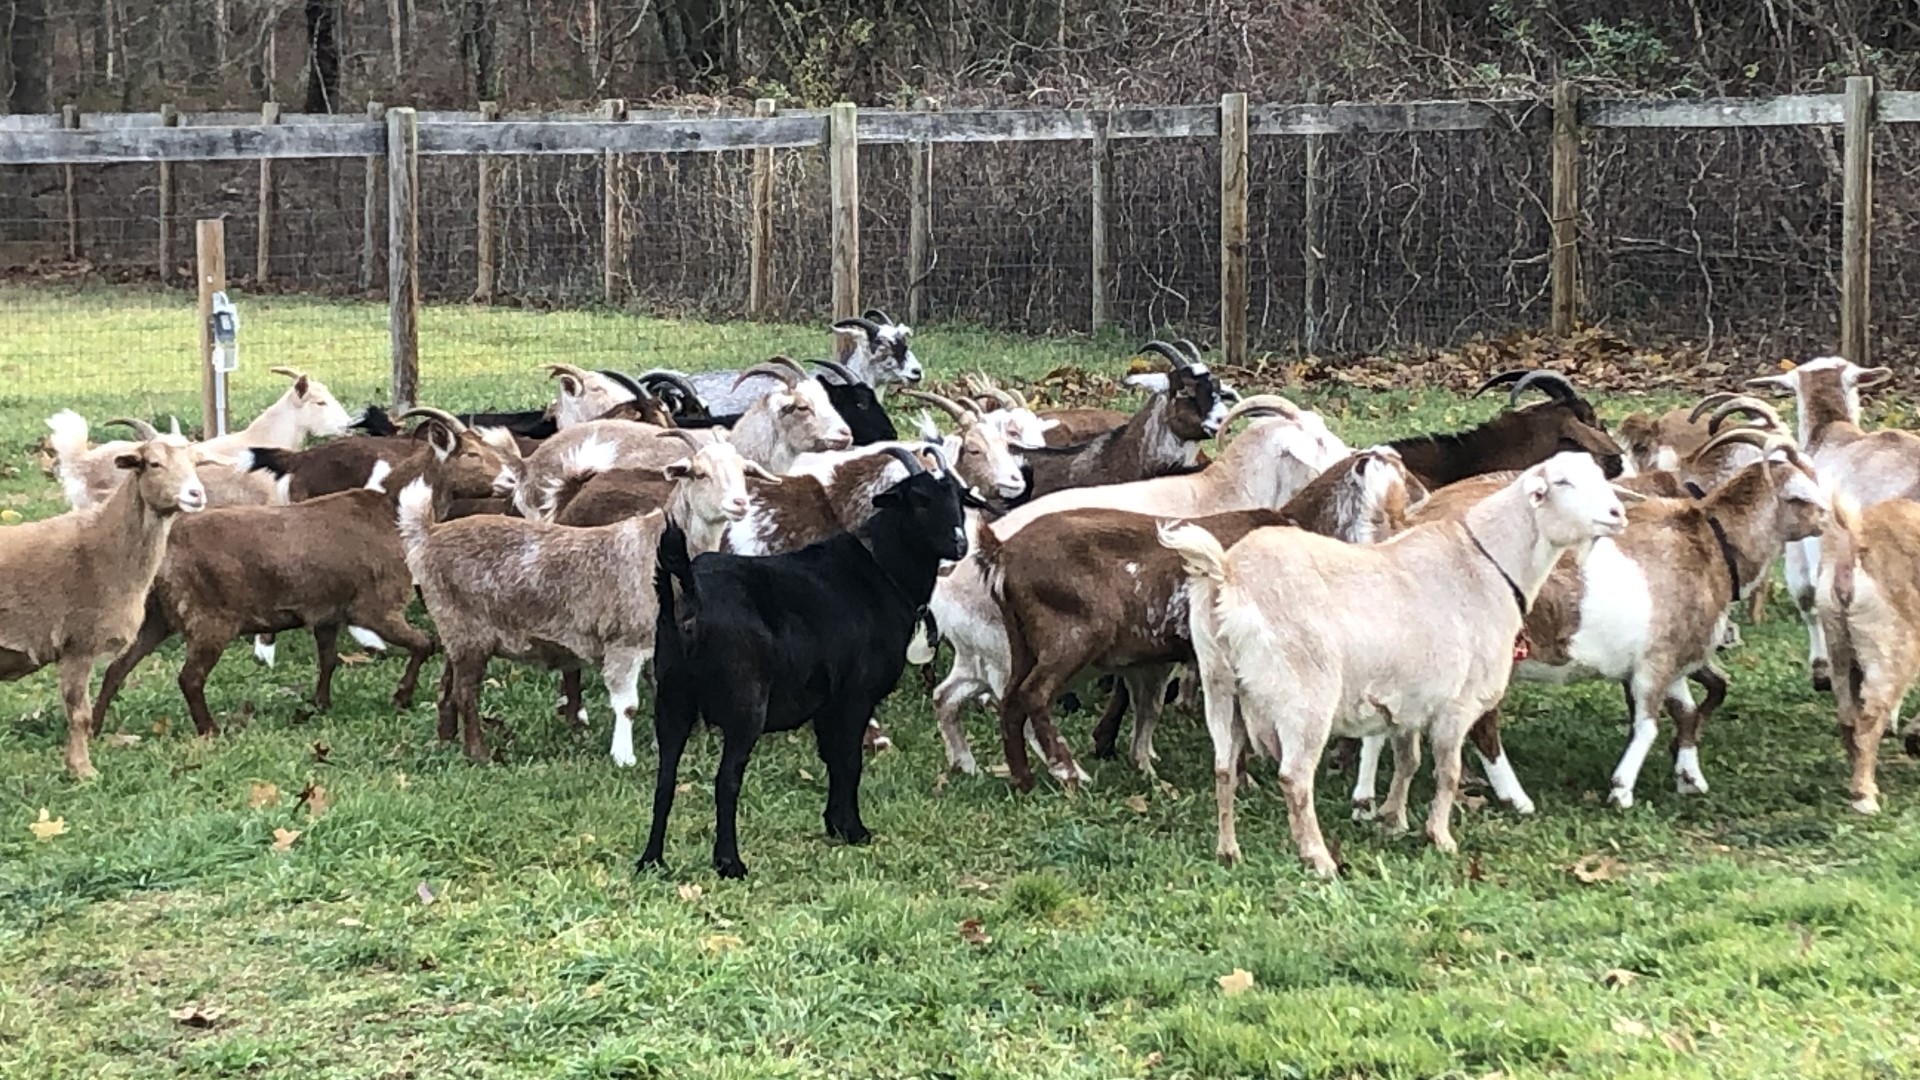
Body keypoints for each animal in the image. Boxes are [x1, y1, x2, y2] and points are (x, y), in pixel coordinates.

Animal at [0, 418, 206, 778]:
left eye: (194, 461)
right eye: (153, 463)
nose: (197, 494)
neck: (102, 544)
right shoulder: (78, 644)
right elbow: (79, 714)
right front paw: (83, 771)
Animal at [641, 447, 972, 878]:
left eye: (959, 498)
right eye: (919, 499)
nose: (960, 544)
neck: (880, 569)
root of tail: (691, 597)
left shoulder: (827, 703)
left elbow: (833, 758)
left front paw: (835, 824)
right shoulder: (855, 695)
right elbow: (849, 760)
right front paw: (854, 829)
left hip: (672, 698)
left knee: (665, 777)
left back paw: (651, 859)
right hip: (745, 705)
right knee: (726, 779)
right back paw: (730, 862)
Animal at [1162, 453, 1630, 875]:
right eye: (1562, 482)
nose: (1617, 514)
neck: (1485, 566)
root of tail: (1227, 575)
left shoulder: (1409, 701)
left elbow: (1409, 761)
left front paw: (1393, 819)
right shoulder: (1456, 704)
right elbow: (1448, 772)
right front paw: (1439, 836)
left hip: (1220, 682)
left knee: (1223, 767)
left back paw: (1228, 851)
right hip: (1304, 694)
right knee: (1294, 778)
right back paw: (1319, 859)